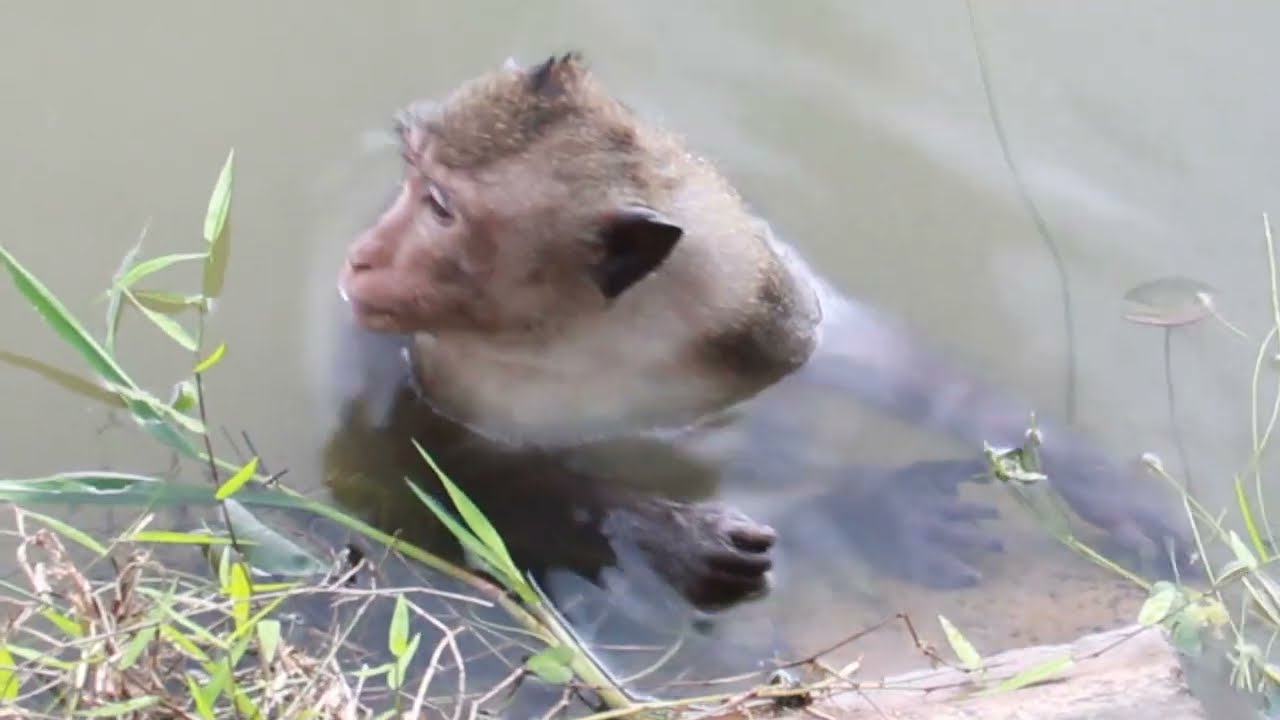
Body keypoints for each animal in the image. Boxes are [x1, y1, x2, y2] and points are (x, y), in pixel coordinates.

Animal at [321, 52, 1195, 621]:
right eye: (413, 179)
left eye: (439, 207)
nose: (361, 255)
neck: (586, 332)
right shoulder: (429, 364)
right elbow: (413, 468)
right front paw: (673, 537)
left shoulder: (750, 302)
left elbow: (863, 356)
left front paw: (1099, 483)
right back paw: (859, 509)